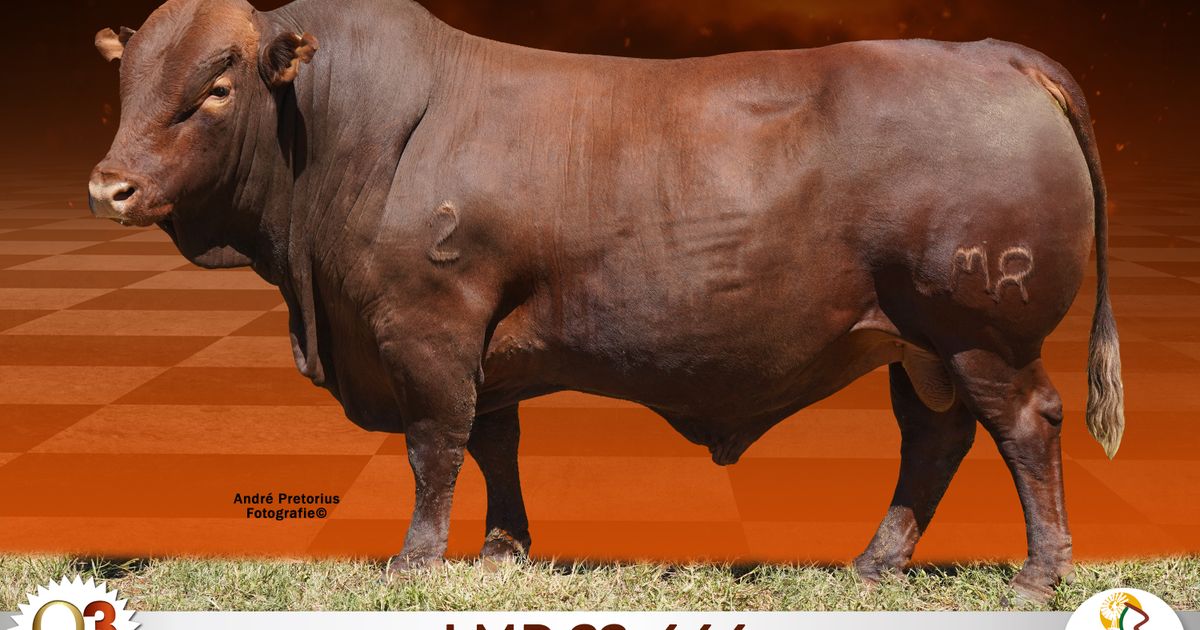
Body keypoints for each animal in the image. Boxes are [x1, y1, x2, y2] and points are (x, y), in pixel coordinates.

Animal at [88, 0, 1124, 603]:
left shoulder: (427, 327)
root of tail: (996, 53)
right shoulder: (481, 343)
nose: (109, 188)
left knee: (1026, 425)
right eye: (130, 79)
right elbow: (493, 441)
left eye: (217, 88)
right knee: (936, 440)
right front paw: (503, 550)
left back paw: (1038, 576)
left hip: (980, 330)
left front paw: (416, 558)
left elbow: (434, 446)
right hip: (916, 344)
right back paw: (876, 563)